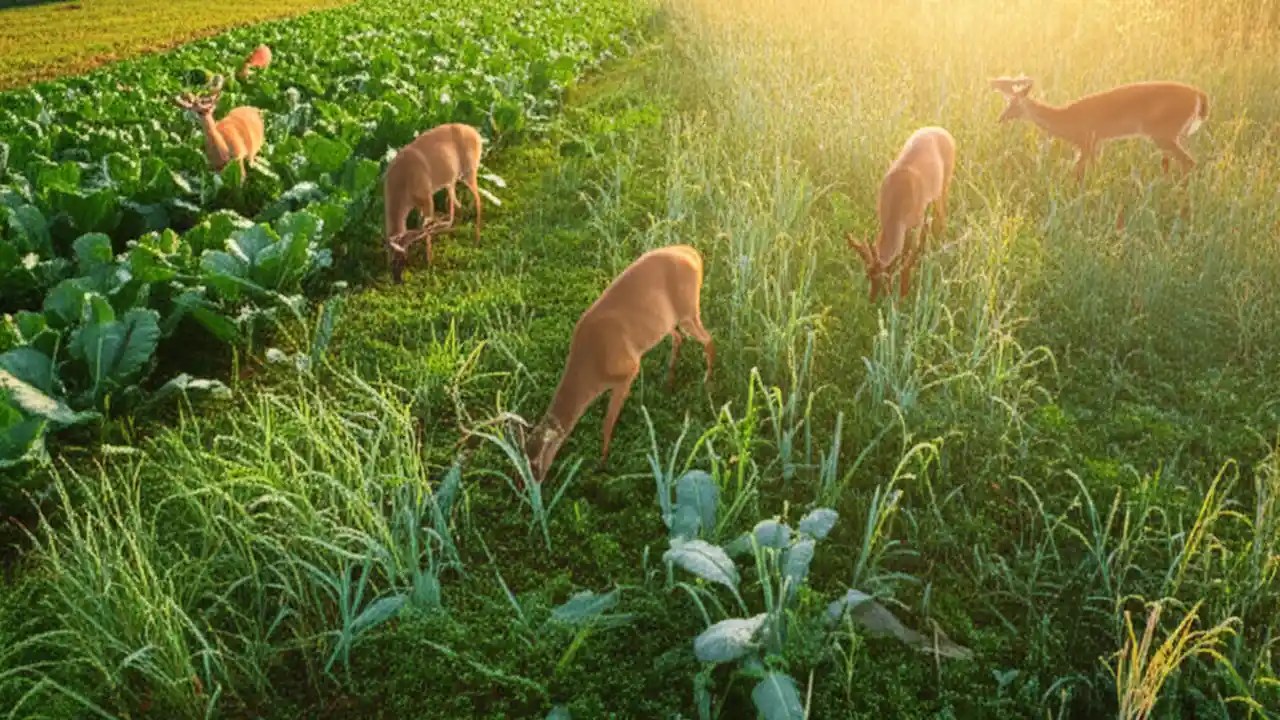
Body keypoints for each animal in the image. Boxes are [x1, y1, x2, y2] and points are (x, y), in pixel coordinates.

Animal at [383, 123, 484, 282]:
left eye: (402, 256)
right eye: (390, 258)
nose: (397, 280)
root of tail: (477, 134)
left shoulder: (426, 197)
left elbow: (426, 228)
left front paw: (429, 262)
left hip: (469, 170)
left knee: (479, 199)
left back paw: (477, 238)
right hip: (453, 178)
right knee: (455, 202)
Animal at [523, 245, 715, 484]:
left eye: (536, 463)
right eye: (522, 458)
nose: (527, 488)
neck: (591, 366)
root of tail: (693, 253)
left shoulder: (628, 371)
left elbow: (607, 424)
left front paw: (602, 465)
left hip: (689, 310)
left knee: (709, 340)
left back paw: (707, 384)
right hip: (665, 323)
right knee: (679, 338)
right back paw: (669, 383)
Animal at [848, 126, 956, 302]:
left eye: (883, 275)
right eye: (868, 275)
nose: (871, 299)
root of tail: (945, 132)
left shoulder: (916, 221)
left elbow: (907, 259)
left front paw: (903, 294)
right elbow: (903, 252)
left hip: (945, 183)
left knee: (942, 214)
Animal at [989, 76, 1209, 181]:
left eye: (1014, 103)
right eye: (1006, 101)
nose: (1000, 118)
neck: (1064, 119)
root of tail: (1199, 95)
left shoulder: (1087, 142)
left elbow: (1077, 172)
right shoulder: (1095, 145)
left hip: (1164, 134)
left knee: (1189, 162)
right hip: (1175, 136)